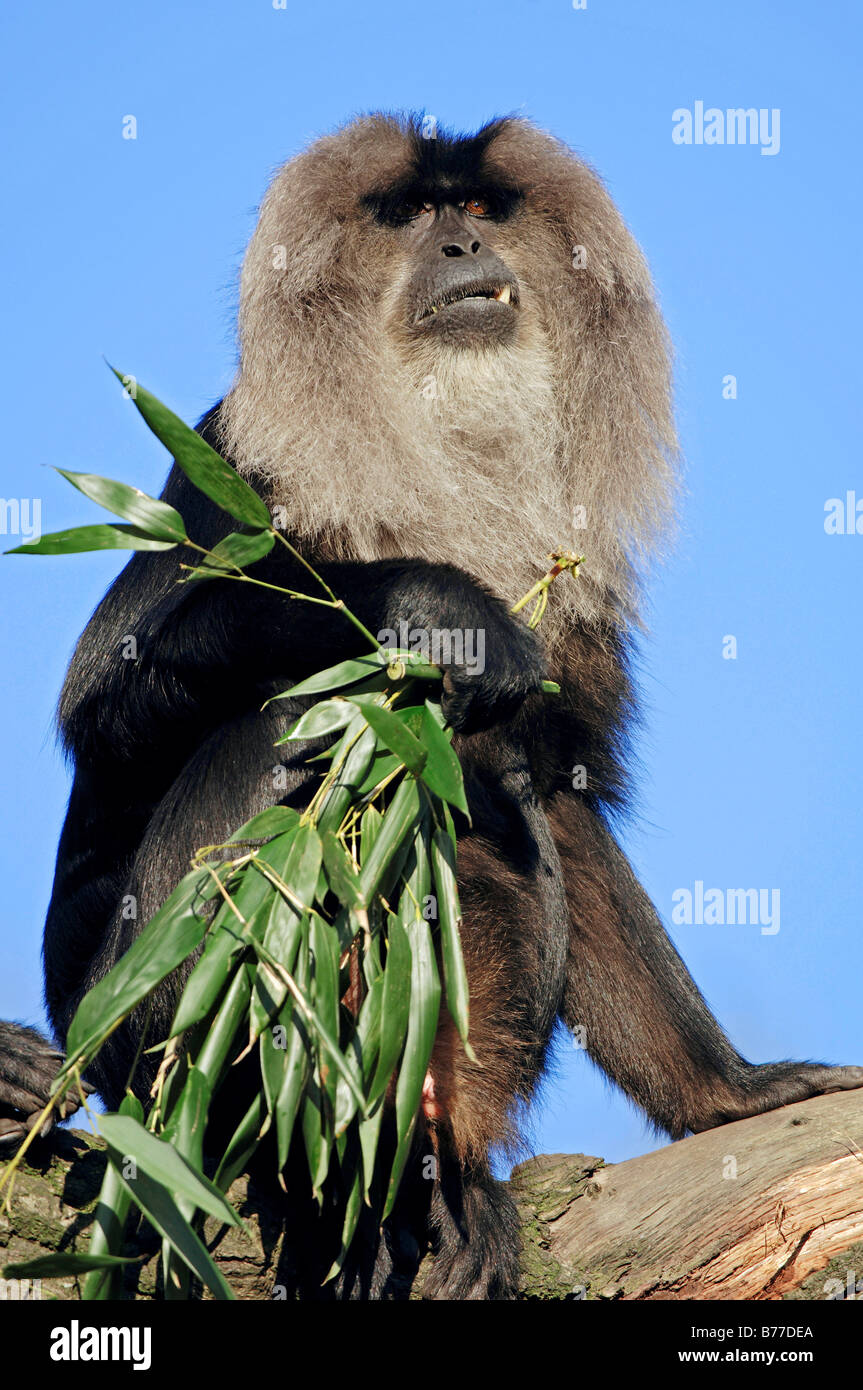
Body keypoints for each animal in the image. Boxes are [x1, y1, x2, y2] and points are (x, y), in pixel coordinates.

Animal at [1, 113, 860, 1299]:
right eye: (412, 215)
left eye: (483, 210)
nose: (460, 248)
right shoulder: (236, 460)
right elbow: (111, 692)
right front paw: (438, 607)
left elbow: (557, 790)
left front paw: (728, 1091)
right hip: (141, 1048)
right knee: (283, 738)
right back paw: (323, 1182)